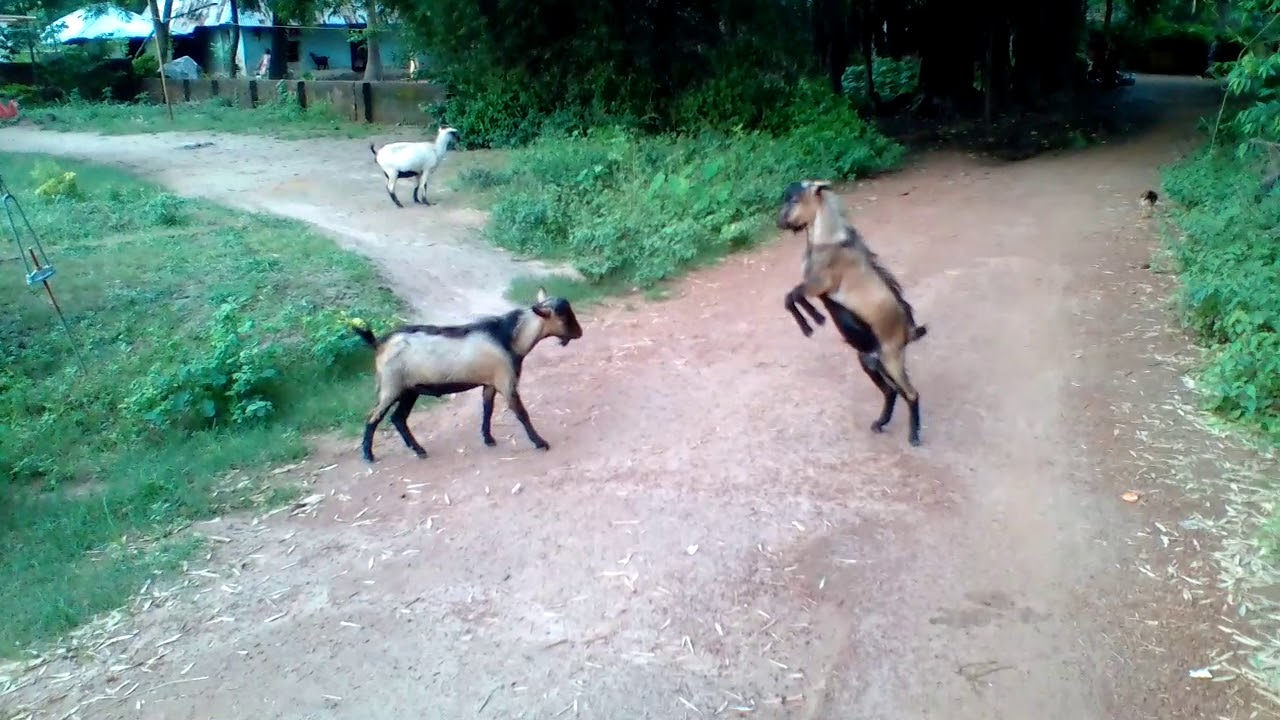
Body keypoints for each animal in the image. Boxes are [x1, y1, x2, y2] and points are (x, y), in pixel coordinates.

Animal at [350, 287, 584, 463]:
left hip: (410, 389)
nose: (579, 333)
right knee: (374, 417)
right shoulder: (506, 381)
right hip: (390, 387)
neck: (508, 338)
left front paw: (488, 439)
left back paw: (418, 450)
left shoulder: (490, 383)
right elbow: (521, 413)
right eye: (563, 317)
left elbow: (488, 409)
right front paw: (540, 442)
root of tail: (379, 343)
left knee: (398, 418)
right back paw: (368, 455)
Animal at [778, 180, 929, 447]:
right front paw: (815, 320)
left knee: (911, 393)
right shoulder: (814, 286)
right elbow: (792, 297)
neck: (829, 242)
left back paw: (913, 436)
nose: (779, 221)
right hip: (869, 361)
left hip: (891, 359)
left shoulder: (820, 285)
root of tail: (907, 333)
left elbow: (793, 296)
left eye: (794, 199)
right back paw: (880, 423)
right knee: (892, 391)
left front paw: (813, 322)